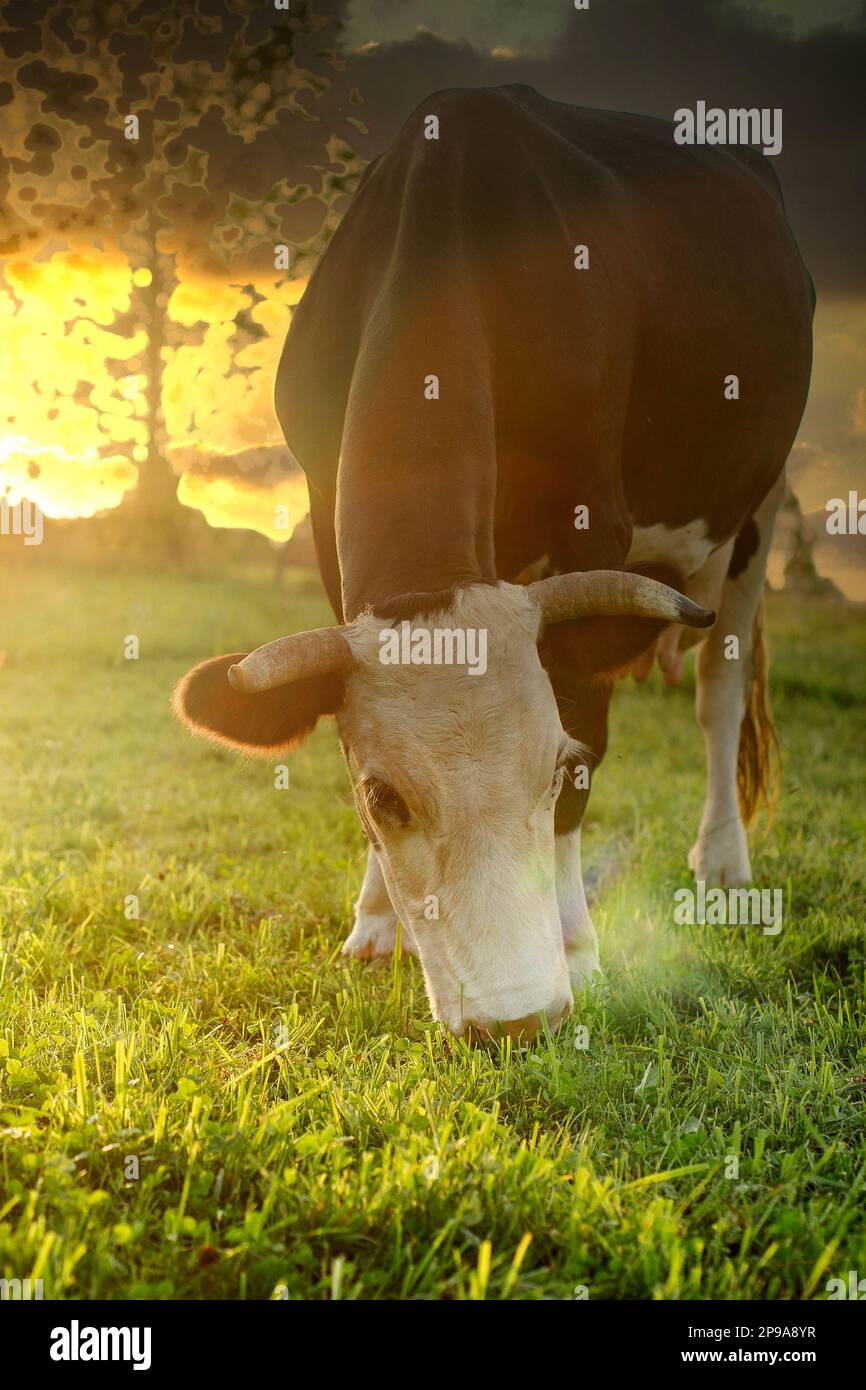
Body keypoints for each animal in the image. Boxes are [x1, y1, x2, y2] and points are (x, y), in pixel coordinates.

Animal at [173, 85, 813, 1042]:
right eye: (384, 797)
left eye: (551, 770)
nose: (516, 1022)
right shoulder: (325, 519)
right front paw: (374, 921)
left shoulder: (596, 525)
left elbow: (594, 732)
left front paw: (576, 946)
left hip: (758, 512)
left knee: (720, 694)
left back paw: (723, 858)